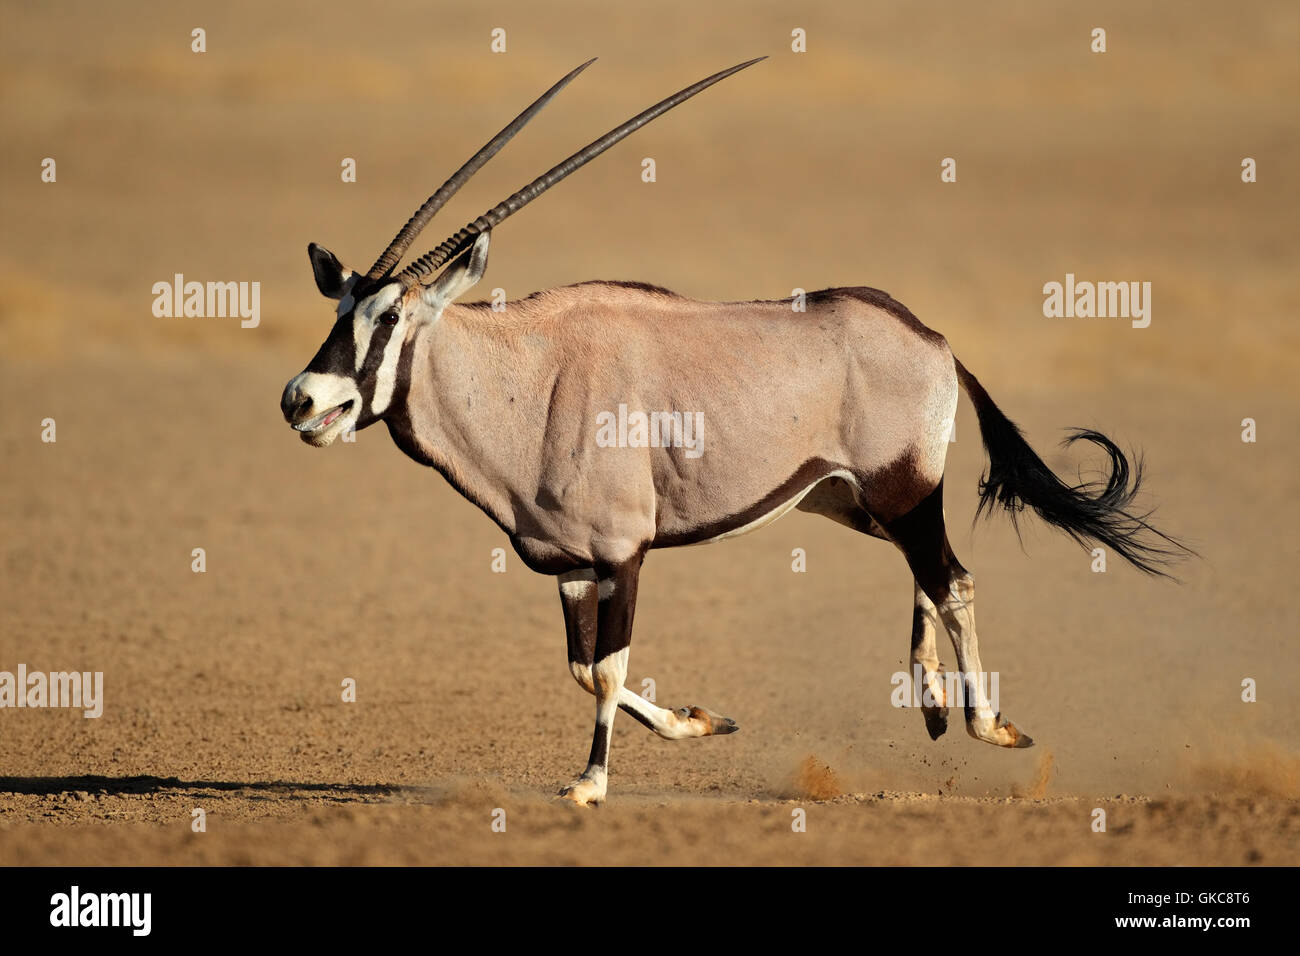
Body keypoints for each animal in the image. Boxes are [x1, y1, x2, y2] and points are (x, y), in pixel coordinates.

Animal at [280, 58, 1188, 806]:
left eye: (389, 316)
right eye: (339, 309)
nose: (301, 398)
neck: (526, 374)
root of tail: (932, 338)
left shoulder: (623, 554)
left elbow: (604, 669)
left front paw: (590, 785)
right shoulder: (569, 567)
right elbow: (581, 668)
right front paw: (699, 720)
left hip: (901, 490)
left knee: (953, 578)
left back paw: (985, 724)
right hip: (851, 501)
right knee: (927, 574)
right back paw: (928, 699)